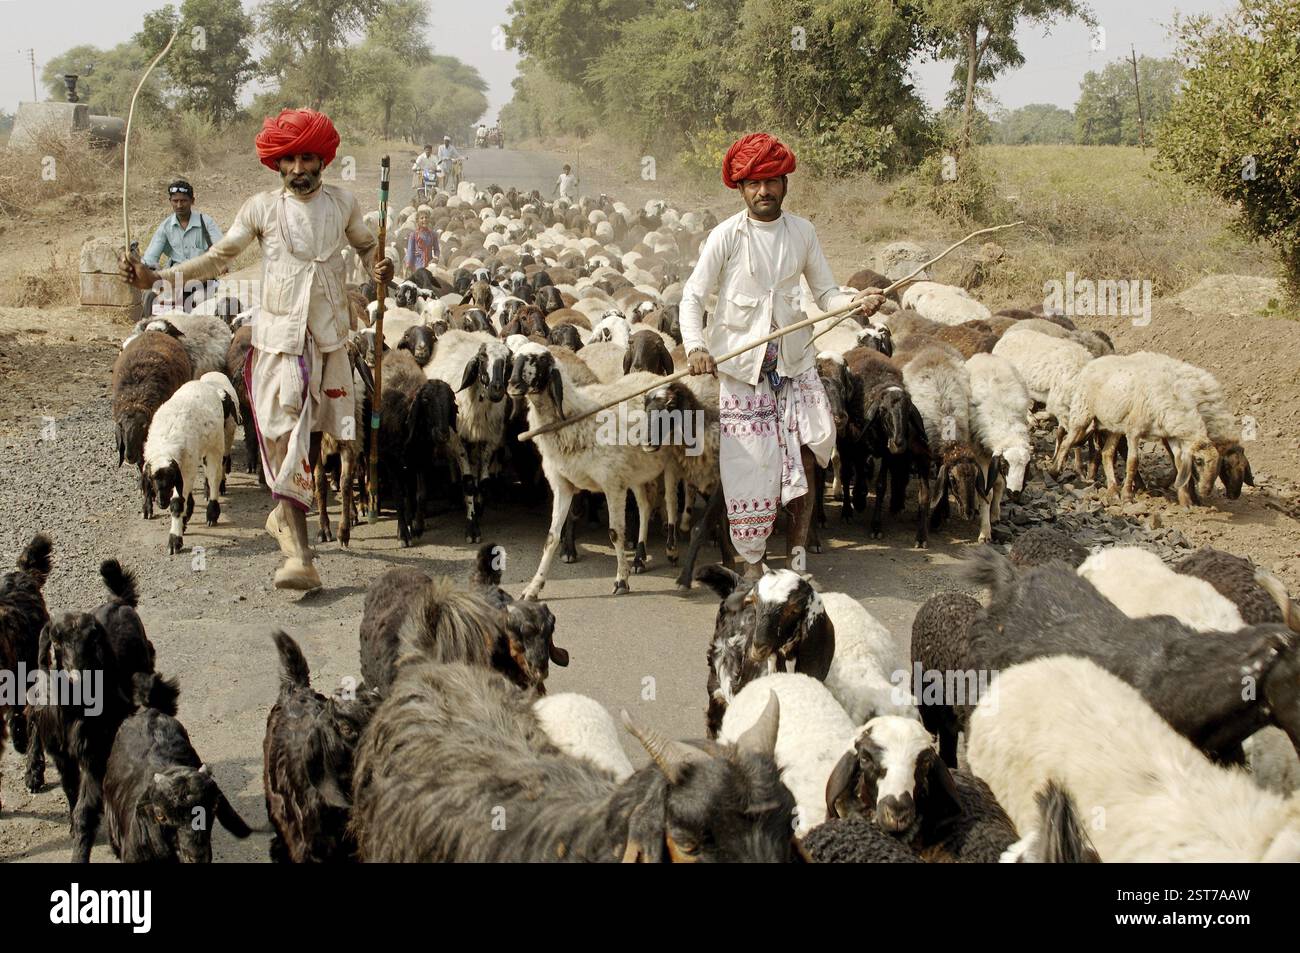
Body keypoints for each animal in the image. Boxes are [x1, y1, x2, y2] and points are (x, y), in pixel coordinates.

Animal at [112, 331, 193, 519]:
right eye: (122, 429)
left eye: (143, 428)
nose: (129, 456)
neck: (135, 397)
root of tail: (154, 332)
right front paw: (147, 500)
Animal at [142, 379, 228, 554]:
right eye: (152, 478)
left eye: (169, 477)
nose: (161, 502)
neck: (165, 444)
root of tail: (204, 384)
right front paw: (182, 524)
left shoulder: (185, 471)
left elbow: (177, 503)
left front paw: (175, 539)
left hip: (214, 447)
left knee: (214, 479)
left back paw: (212, 513)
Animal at [424, 329, 512, 543]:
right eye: (482, 358)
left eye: (507, 360)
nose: (497, 389)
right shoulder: (459, 440)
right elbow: (469, 483)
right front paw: (472, 527)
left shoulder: (489, 438)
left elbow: (484, 481)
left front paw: (478, 508)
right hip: (451, 439)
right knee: (454, 464)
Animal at [508, 344, 671, 596]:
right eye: (513, 357)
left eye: (541, 359)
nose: (513, 385)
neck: (574, 415)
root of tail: (653, 376)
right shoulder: (563, 485)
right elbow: (551, 537)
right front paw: (534, 587)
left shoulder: (612, 483)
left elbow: (615, 533)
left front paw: (621, 580)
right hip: (635, 472)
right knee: (644, 507)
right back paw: (639, 559)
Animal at [965, 353, 1033, 543]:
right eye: (1005, 464)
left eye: (1026, 466)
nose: (1015, 492)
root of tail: (986, 355)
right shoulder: (982, 456)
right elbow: (985, 493)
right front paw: (985, 532)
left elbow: (998, 483)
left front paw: (993, 514)